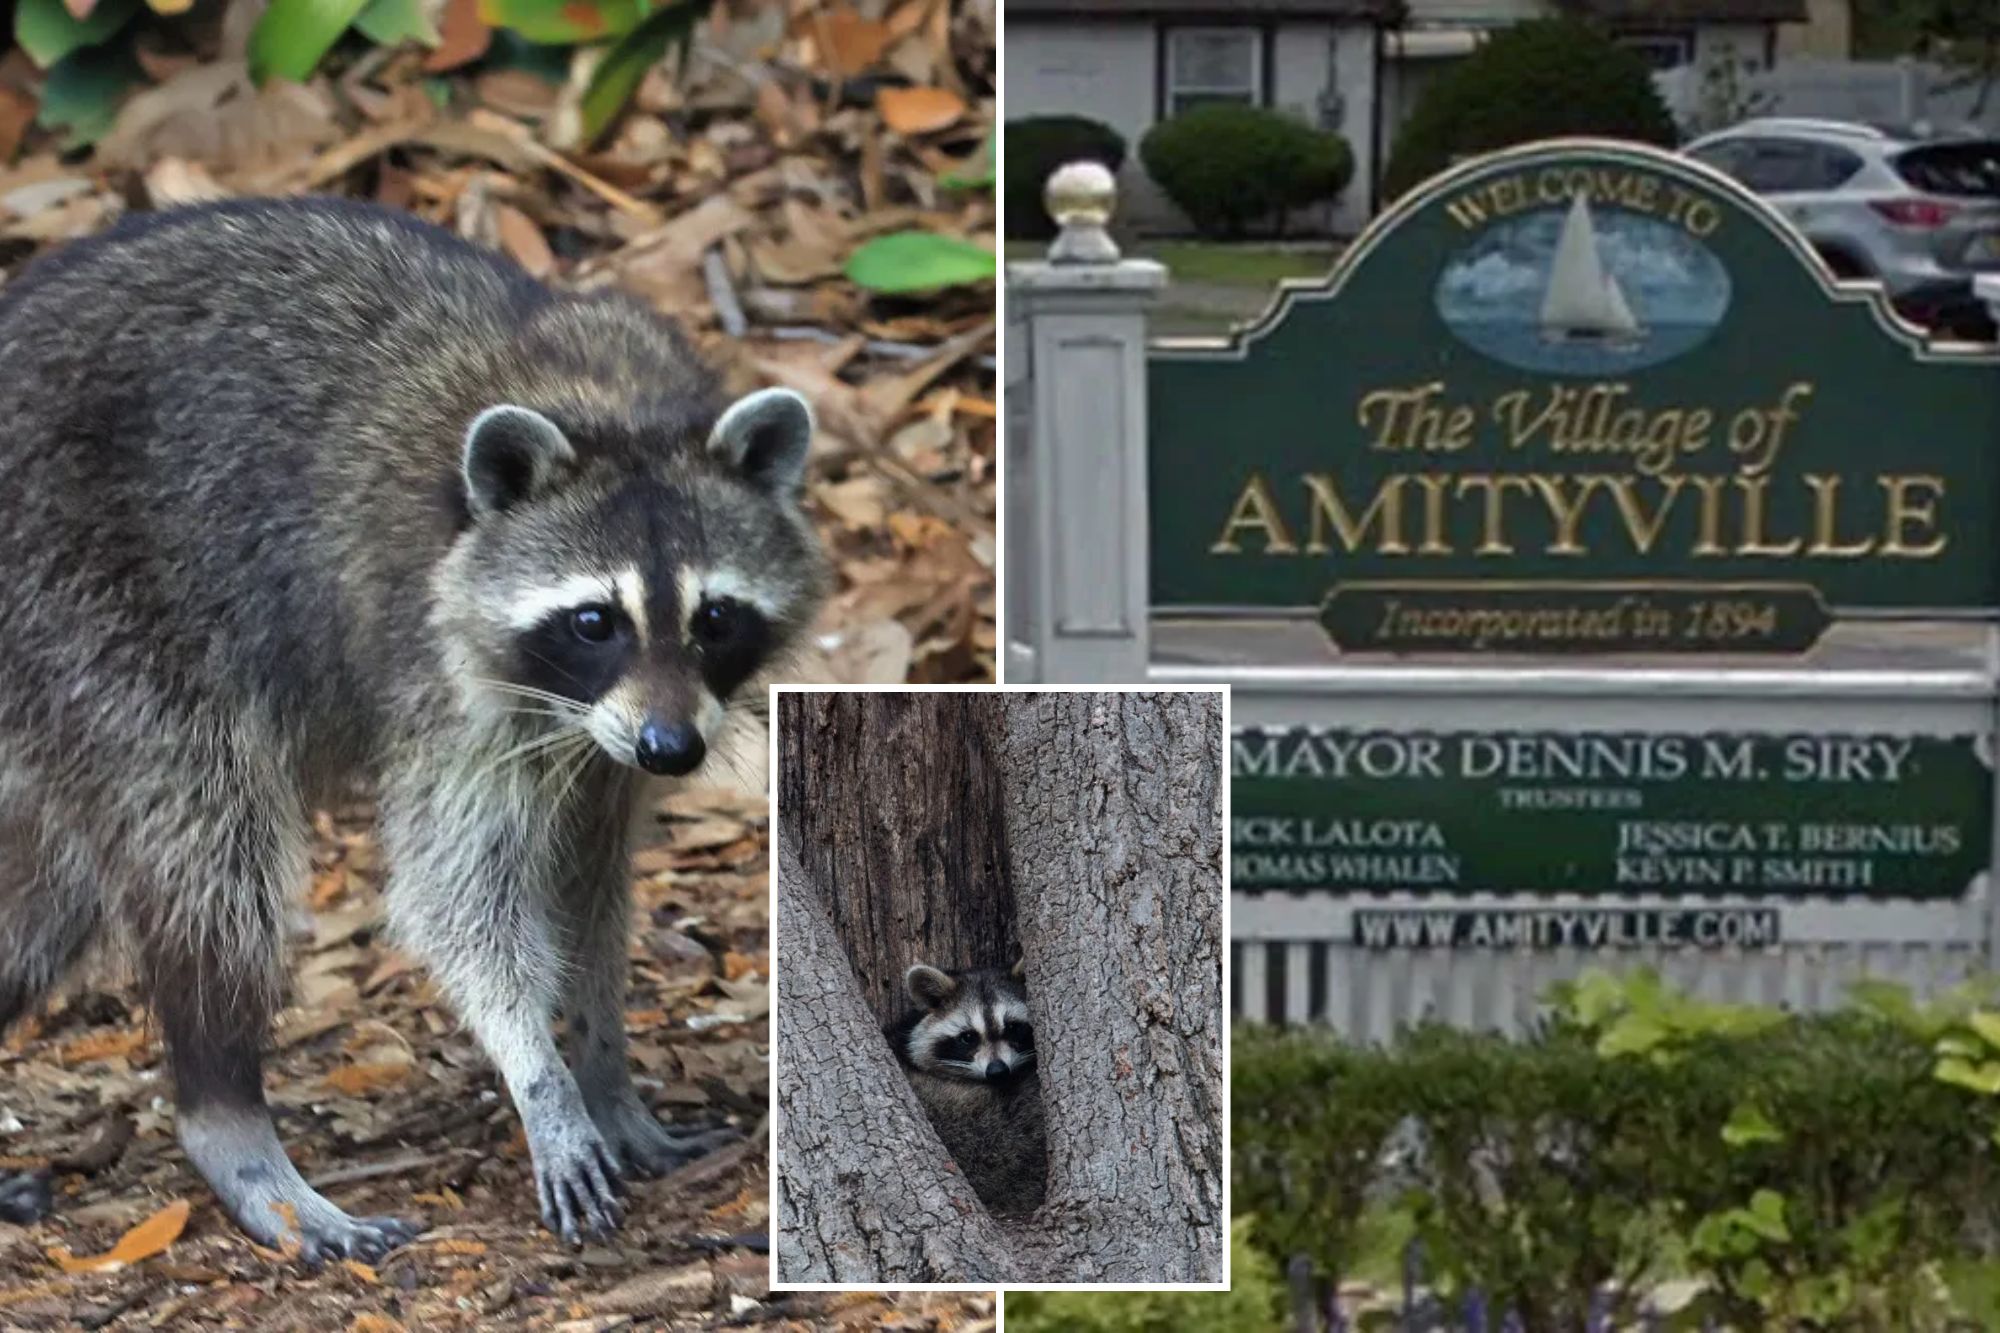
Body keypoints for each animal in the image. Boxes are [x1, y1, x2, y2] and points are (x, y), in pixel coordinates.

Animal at [0, 198, 828, 1260]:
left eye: (716, 617)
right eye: (594, 620)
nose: (673, 752)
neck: (604, 408)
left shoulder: (606, 743)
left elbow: (588, 888)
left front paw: (603, 1060)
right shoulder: (442, 681)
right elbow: (458, 900)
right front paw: (540, 1076)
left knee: (49, 893)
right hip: (83, 600)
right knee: (209, 852)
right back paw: (230, 1122)